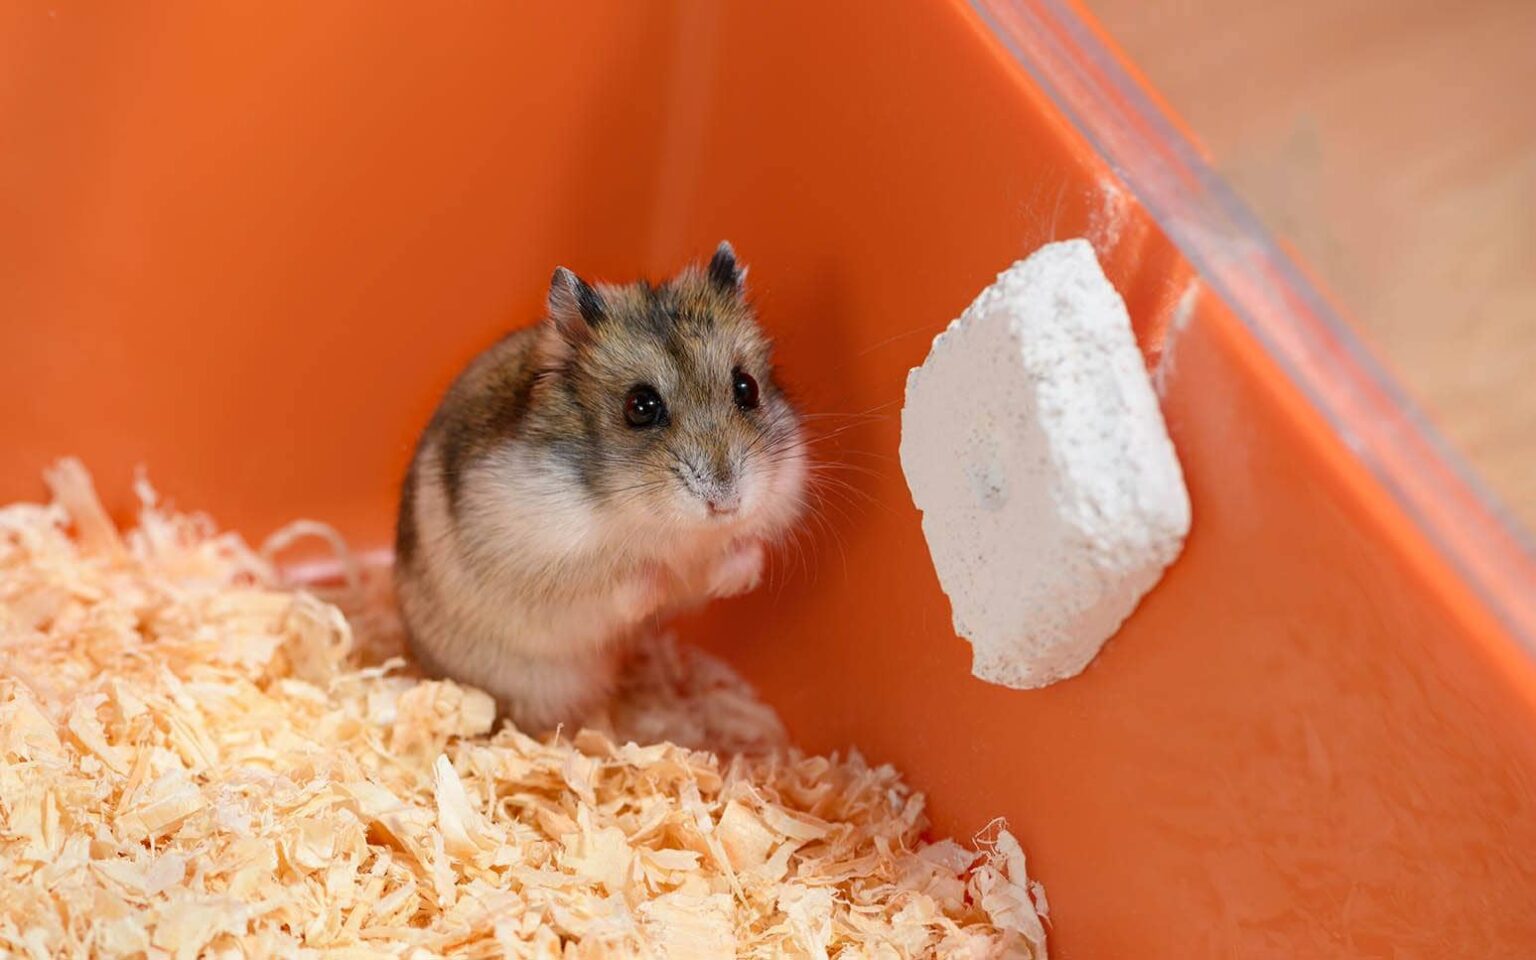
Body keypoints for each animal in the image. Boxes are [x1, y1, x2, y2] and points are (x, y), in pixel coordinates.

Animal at [394, 242, 808, 731]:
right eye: (640, 406)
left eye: (746, 388)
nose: (726, 503)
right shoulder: (548, 561)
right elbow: (620, 578)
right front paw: (660, 584)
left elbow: (744, 550)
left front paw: (729, 580)